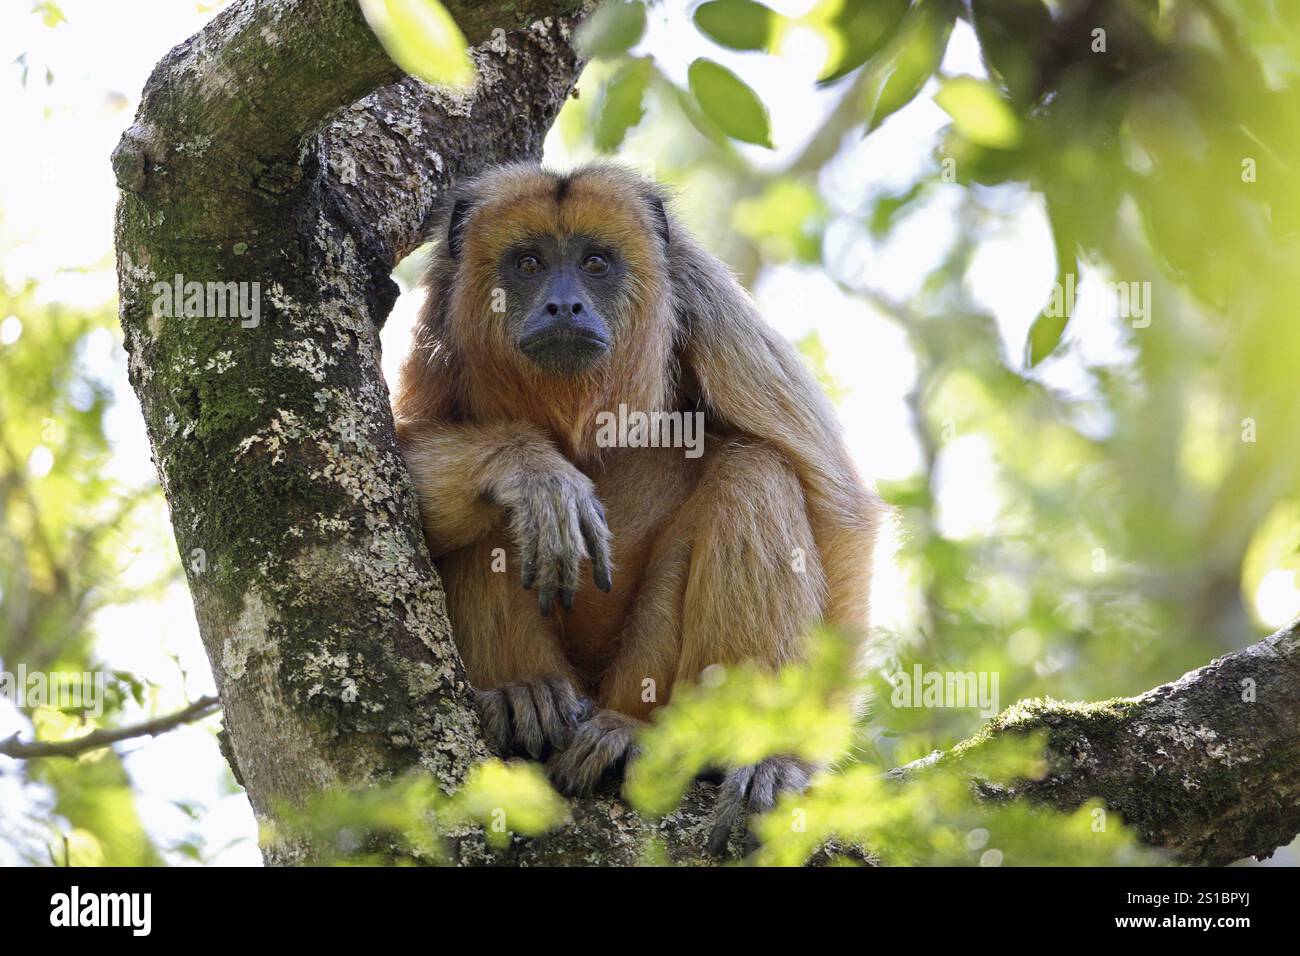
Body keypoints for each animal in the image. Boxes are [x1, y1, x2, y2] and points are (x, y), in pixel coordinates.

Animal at [392, 163, 880, 853]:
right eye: (528, 262)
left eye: (595, 263)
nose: (564, 305)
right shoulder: (432, 325)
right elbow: (391, 454)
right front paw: (530, 468)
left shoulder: (705, 301)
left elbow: (835, 506)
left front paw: (782, 761)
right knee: (501, 518)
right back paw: (523, 696)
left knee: (756, 473)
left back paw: (666, 745)